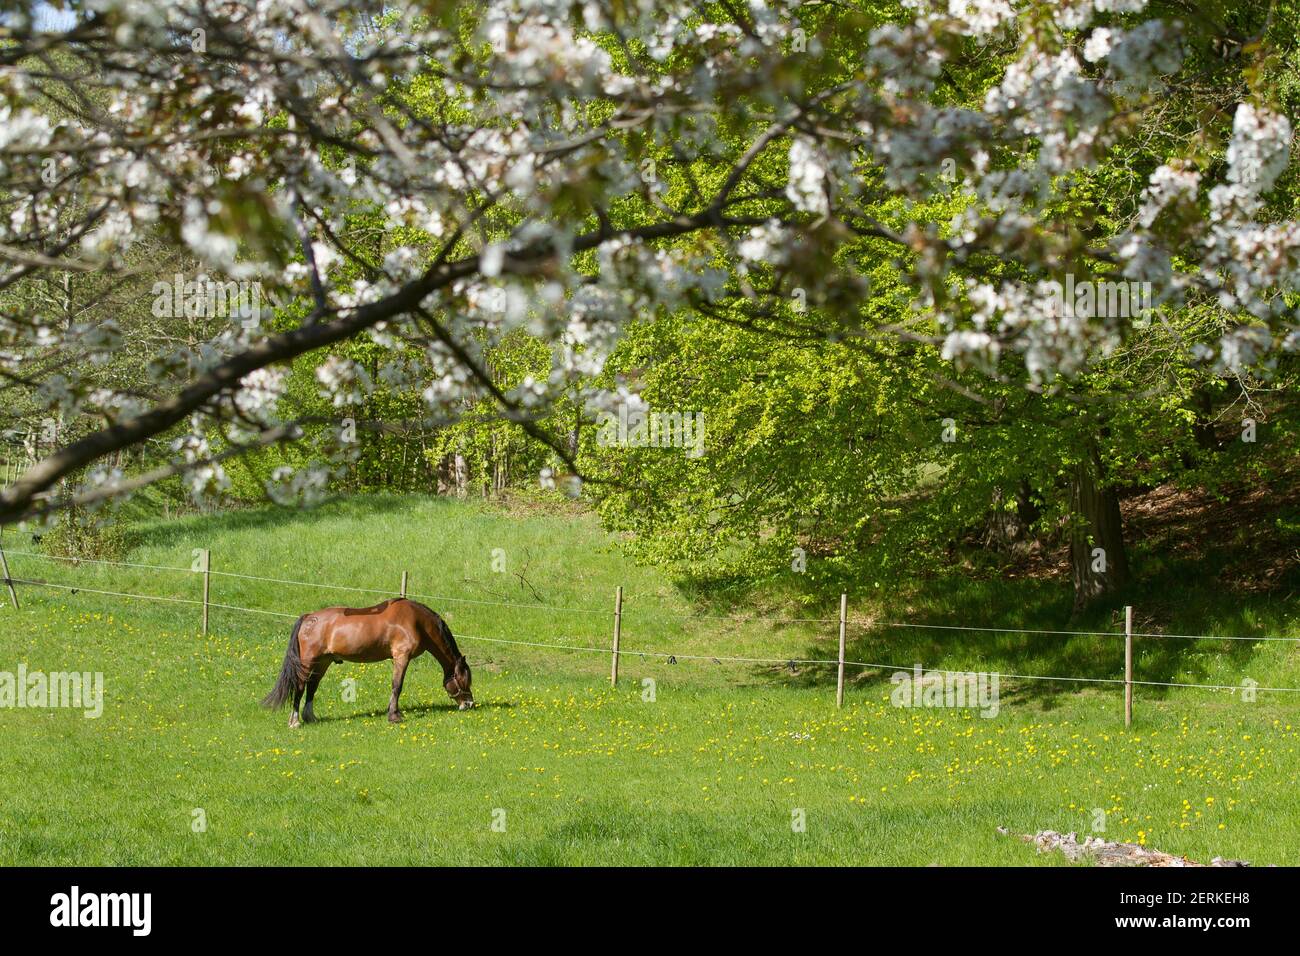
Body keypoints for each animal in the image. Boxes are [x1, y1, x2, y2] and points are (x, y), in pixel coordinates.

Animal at [261, 598, 474, 727]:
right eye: (464, 680)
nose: (469, 704)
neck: (416, 621)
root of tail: (308, 618)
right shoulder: (401, 657)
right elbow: (397, 686)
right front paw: (394, 716)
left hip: (323, 662)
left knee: (312, 686)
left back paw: (310, 717)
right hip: (308, 661)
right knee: (299, 686)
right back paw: (295, 721)